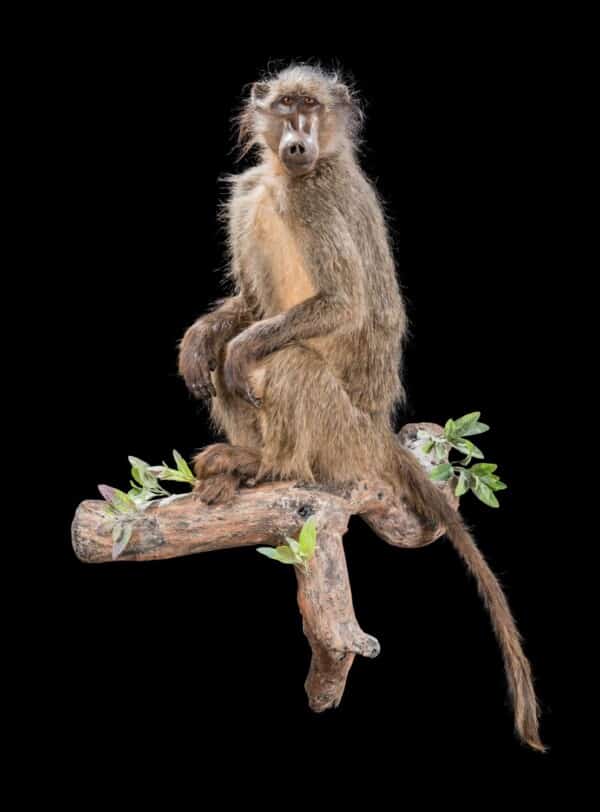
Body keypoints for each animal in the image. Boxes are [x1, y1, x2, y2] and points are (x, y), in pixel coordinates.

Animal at [178, 64, 544, 751]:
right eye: (285, 107)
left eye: (310, 107)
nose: (297, 141)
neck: (288, 179)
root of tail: (375, 432)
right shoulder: (249, 194)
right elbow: (246, 305)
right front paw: (203, 335)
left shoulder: (317, 197)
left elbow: (340, 305)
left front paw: (239, 346)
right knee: (230, 369)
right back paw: (241, 454)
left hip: (340, 432)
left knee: (288, 363)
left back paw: (269, 466)